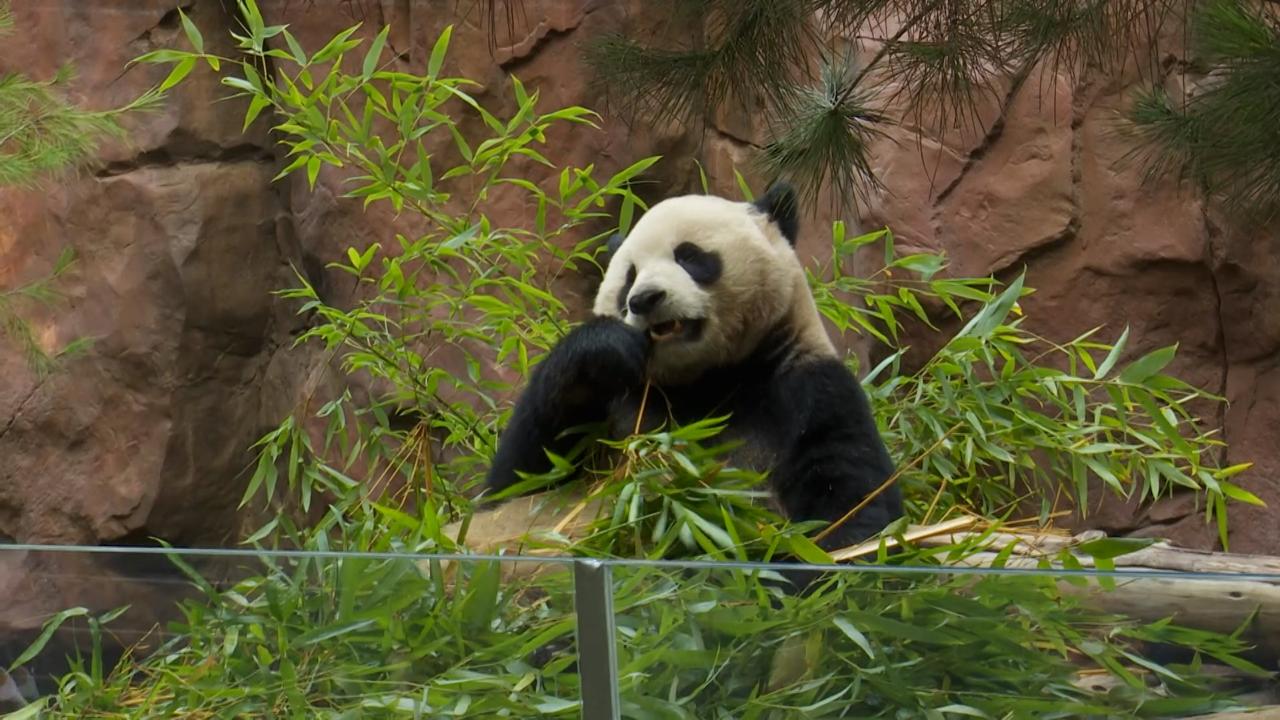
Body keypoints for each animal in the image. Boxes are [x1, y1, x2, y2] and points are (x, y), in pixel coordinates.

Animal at [486, 183, 901, 551]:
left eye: (688, 256)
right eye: (629, 277)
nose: (644, 299)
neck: (706, 379)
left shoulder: (810, 388)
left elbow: (854, 511)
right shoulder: (621, 402)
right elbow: (517, 485)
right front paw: (605, 346)